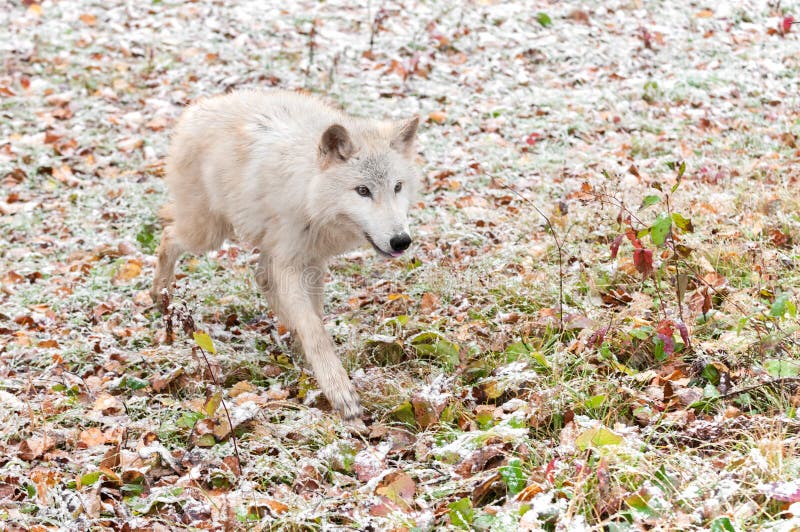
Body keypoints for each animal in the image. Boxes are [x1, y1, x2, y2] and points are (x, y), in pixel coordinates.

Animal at [150, 89, 420, 425]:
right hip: (207, 234)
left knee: (261, 275)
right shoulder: (291, 261)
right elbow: (315, 331)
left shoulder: (313, 261)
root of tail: (196, 109)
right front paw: (340, 393)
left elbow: (313, 318)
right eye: (362, 190)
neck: (310, 193)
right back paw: (160, 295)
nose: (401, 241)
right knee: (167, 236)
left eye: (397, 187)